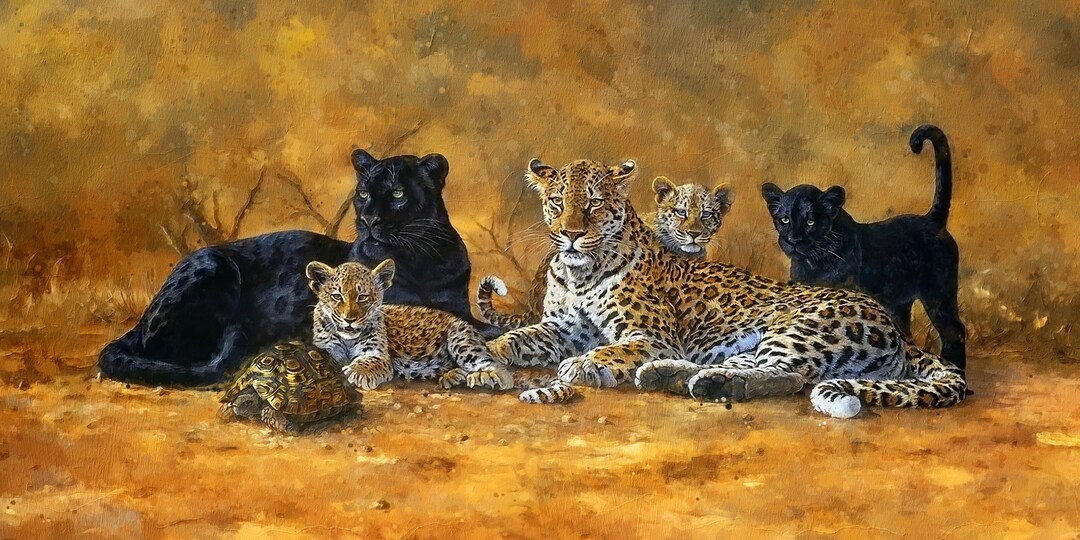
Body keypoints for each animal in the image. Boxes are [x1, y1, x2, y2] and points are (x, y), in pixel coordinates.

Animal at [307, 260, 514, 392]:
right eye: (337, 296)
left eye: (363, 297)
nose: (349, 319)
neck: (348, 340)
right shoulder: (326, 348)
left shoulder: (378, 355)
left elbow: (367, 361)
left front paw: (357, 372)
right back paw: (453, 376)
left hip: (460, 339)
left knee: (497, 369)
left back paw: (486, 378)